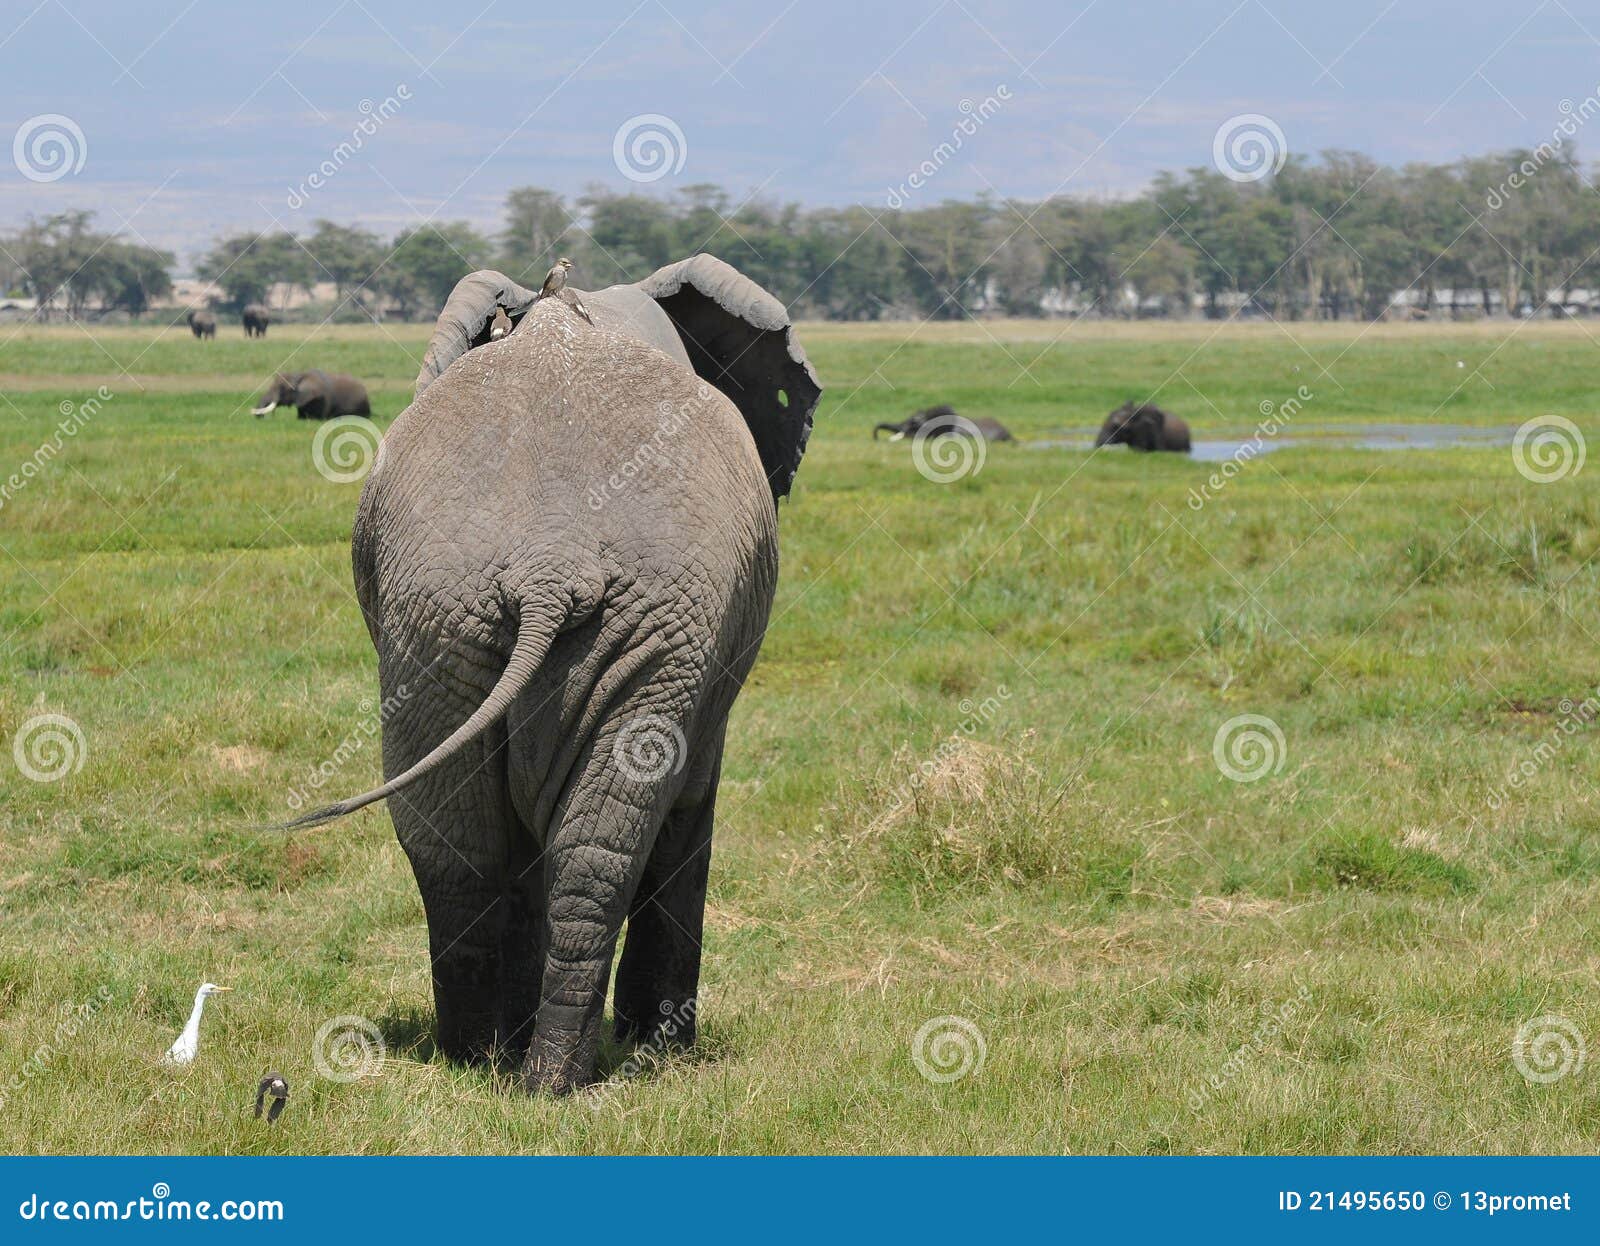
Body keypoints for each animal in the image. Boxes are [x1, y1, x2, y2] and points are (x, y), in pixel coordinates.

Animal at [282, 256, 820, 1094]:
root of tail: (548, 565)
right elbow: (691, 805)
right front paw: (660, 1045)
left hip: (437, 628)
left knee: (461, 847)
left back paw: (487, 1060)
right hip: (618, 632)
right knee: (596, 848)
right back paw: (556, 1073)